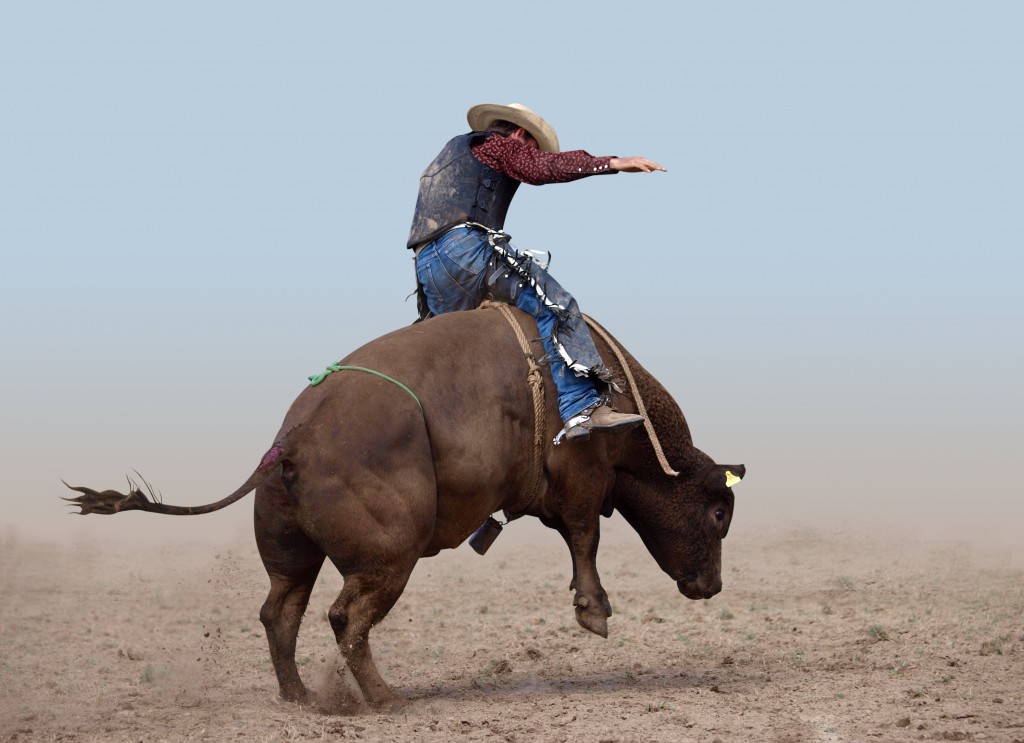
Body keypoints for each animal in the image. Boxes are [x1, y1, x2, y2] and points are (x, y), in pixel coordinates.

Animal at [64, 305, 744, 709]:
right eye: (718, 515)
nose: (711, 586)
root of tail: (293, 439)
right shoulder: (581, 476)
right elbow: (583, 535)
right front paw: (594, 611)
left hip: (291, 554)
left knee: (279, 613)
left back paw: (301, 696)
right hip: (388, 556)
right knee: (345, 618)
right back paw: (384, 696)